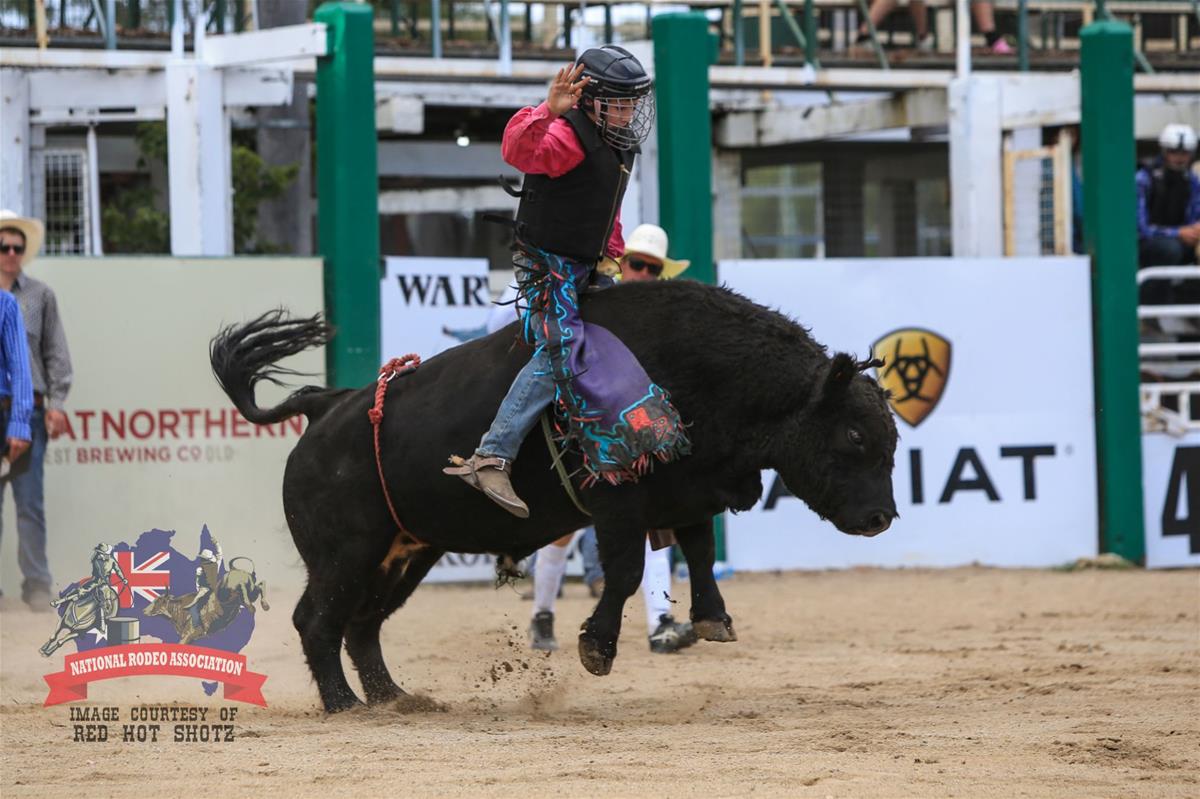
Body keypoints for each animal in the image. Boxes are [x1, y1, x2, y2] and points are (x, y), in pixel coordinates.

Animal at [210, 279, 899, 713]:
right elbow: (624, 571)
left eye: (891, 437)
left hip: (402, 554)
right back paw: (344, 704)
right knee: (317, 621)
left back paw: (392, 699)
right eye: (854, 434)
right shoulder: (620, 501)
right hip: (344, 554)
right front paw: (598, 646)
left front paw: (711, 618)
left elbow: (698, 554)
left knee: (361, 626)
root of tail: (329, 405)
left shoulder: (686, 494)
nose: (881, 517)